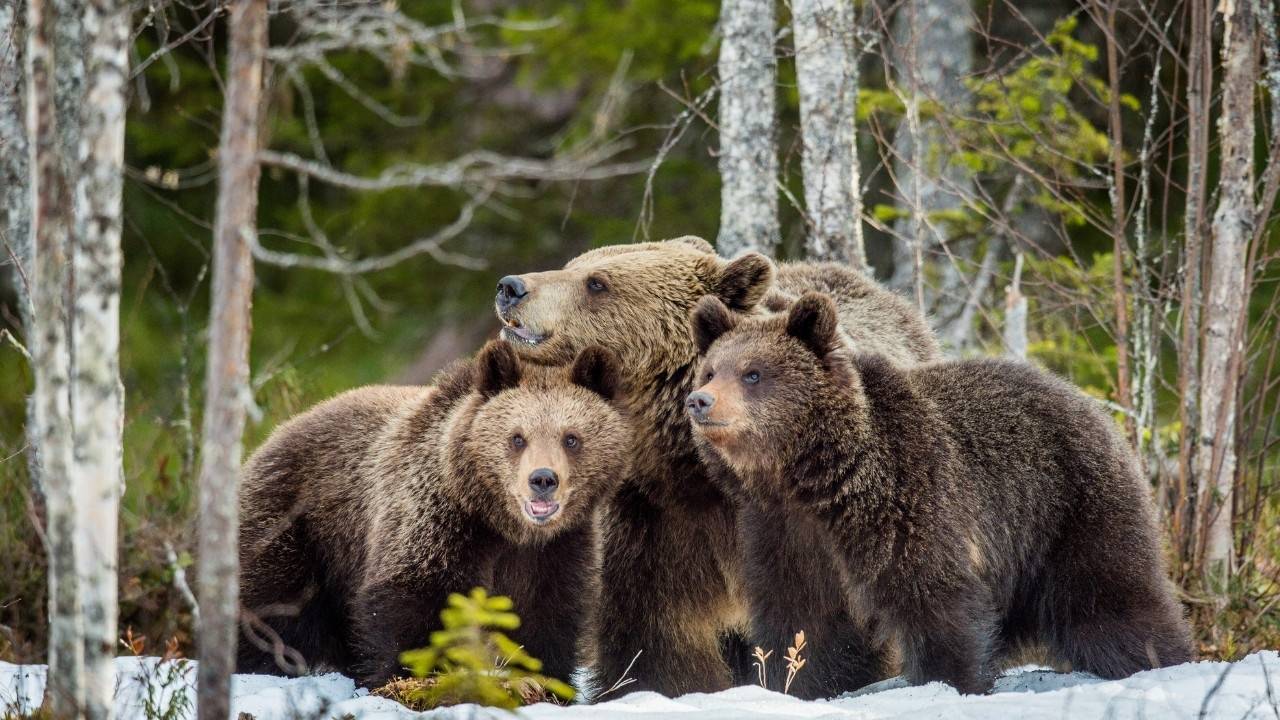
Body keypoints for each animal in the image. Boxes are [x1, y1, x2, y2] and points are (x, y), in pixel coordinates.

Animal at [235, 341, 629, 689]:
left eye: (571, 438)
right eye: (517, 438)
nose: (543, 480)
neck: (501, 523)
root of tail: (273, 436)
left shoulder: (556, 548)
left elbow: (546, 612)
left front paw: (543, 678)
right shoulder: (436, 519)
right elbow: (415, 599)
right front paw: (417, 674)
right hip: (296, 527)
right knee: (268, 606)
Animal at [493, 237, 939, 697]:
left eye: (597, 283)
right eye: (574, 265)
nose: (511, 287)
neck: (692, 468)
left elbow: (824, 623)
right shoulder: (656, 524)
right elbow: (659, 637)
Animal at [686, 291, 1193, 694]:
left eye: (753, 373)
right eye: (710, 370)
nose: (700, 401)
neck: (814, 481)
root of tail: (1090, 404)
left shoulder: (908, 502)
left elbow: (935, 599)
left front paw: (948, 681)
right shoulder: (781, 532)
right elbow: (801, 619)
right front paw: (793, 683)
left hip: (1069, 508)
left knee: (1110, 598)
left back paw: (1157, 659)